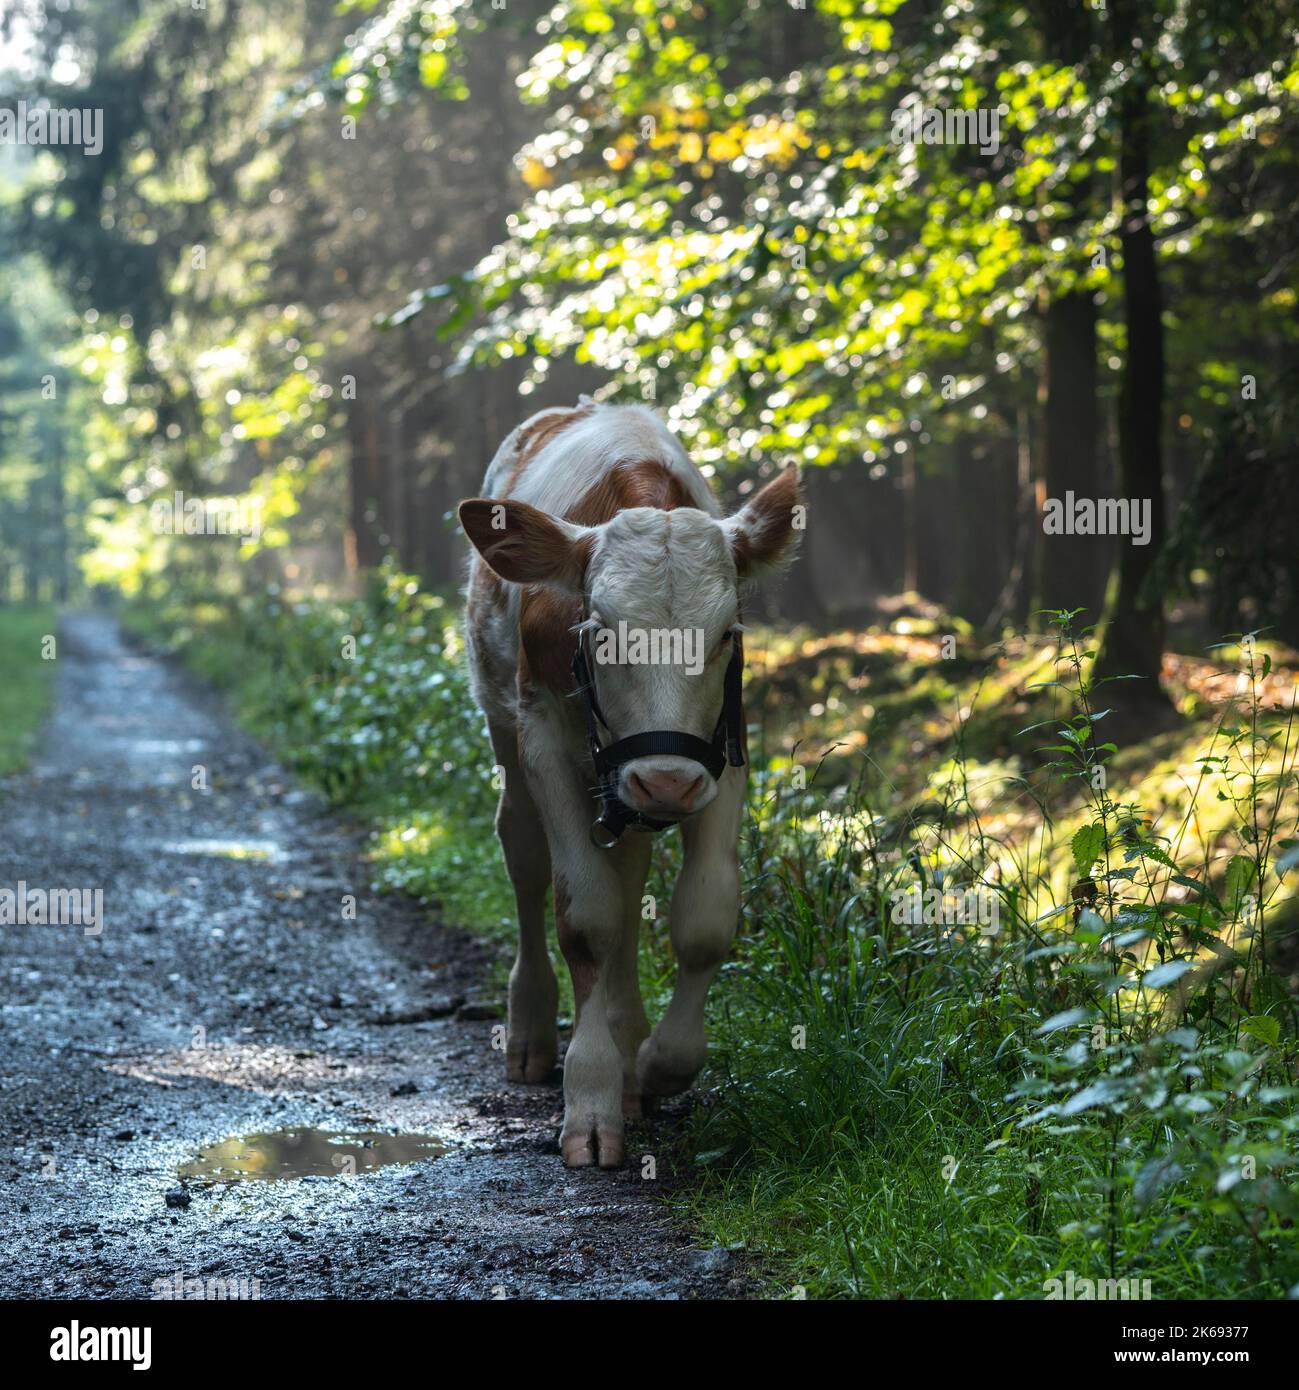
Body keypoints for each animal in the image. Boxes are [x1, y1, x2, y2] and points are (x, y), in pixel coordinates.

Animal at [459, 401, 801, 1167]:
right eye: (601, 631)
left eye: (726, 634)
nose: (665, 782)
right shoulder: (545, 737)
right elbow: (586, 918)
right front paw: (590, 1096)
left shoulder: (721, 749)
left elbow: (703, 918)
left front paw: (654, 1064)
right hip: (507, 730)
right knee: (525, 859)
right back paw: (530, 1032)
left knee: (629, 873)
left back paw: (628, 1041)